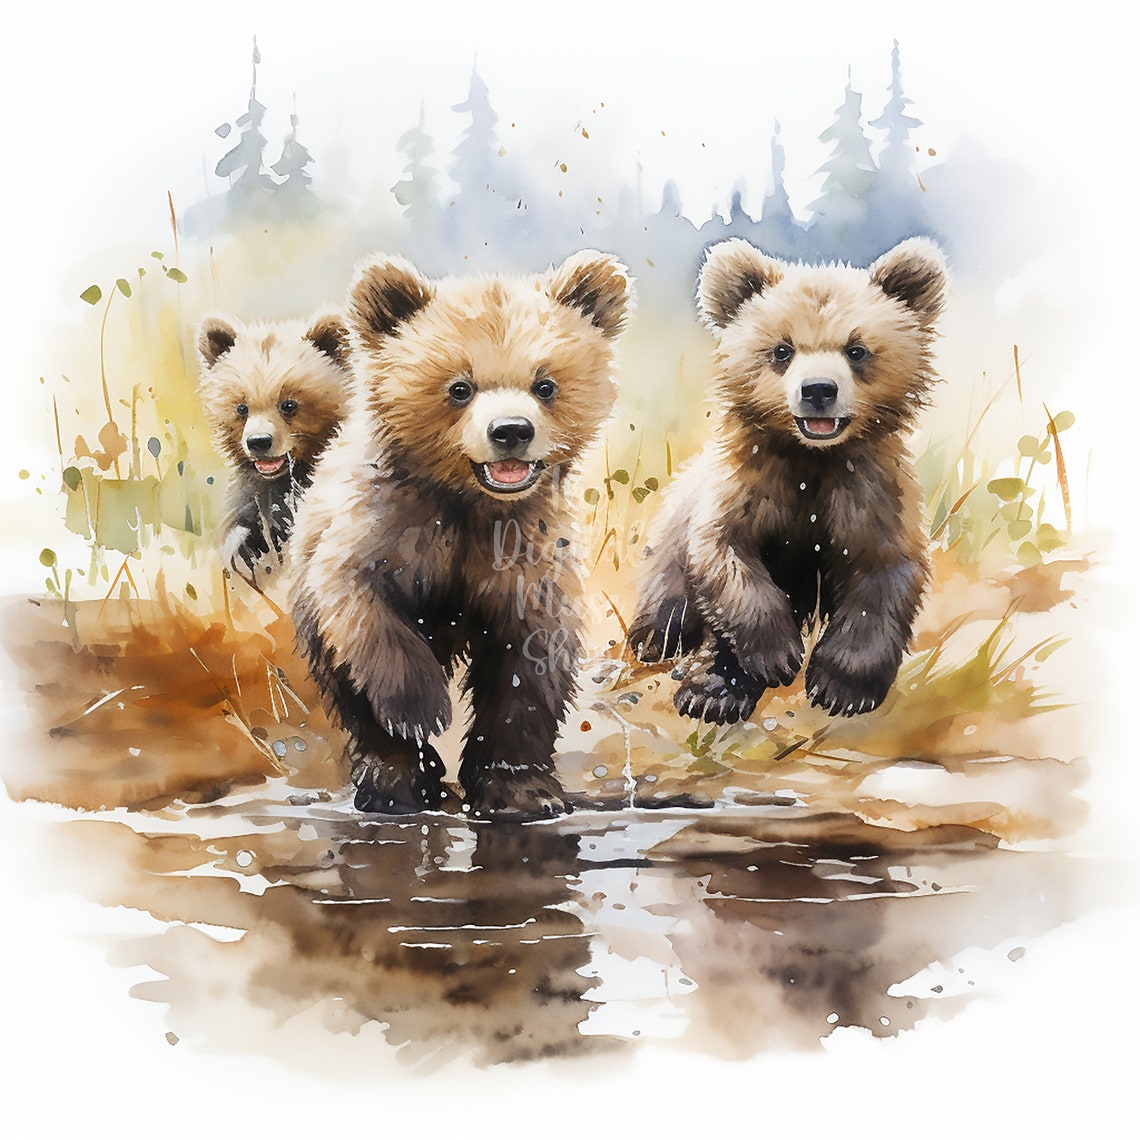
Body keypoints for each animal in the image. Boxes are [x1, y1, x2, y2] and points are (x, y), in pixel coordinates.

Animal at [289, 250, 632, 820]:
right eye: (459, 386)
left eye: (545, 384)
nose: (511, 431)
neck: (470, 503)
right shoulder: (384, 530)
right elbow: (361, 608)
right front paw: (420, 709)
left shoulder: (524, 552)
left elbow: (527, 665)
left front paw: (520, 789)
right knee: (349, 691)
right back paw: (395, 781)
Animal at [628, 236, 947, 724]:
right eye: (782, 349)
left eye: (856, 349)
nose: (818, 390)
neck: (812, 459)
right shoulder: (746, 491)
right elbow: (728, 563)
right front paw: (769, 660)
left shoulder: (869, 495)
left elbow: (882, 577)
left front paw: (841, 686)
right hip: (671, 533)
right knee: (669, 588)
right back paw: (674, 655)